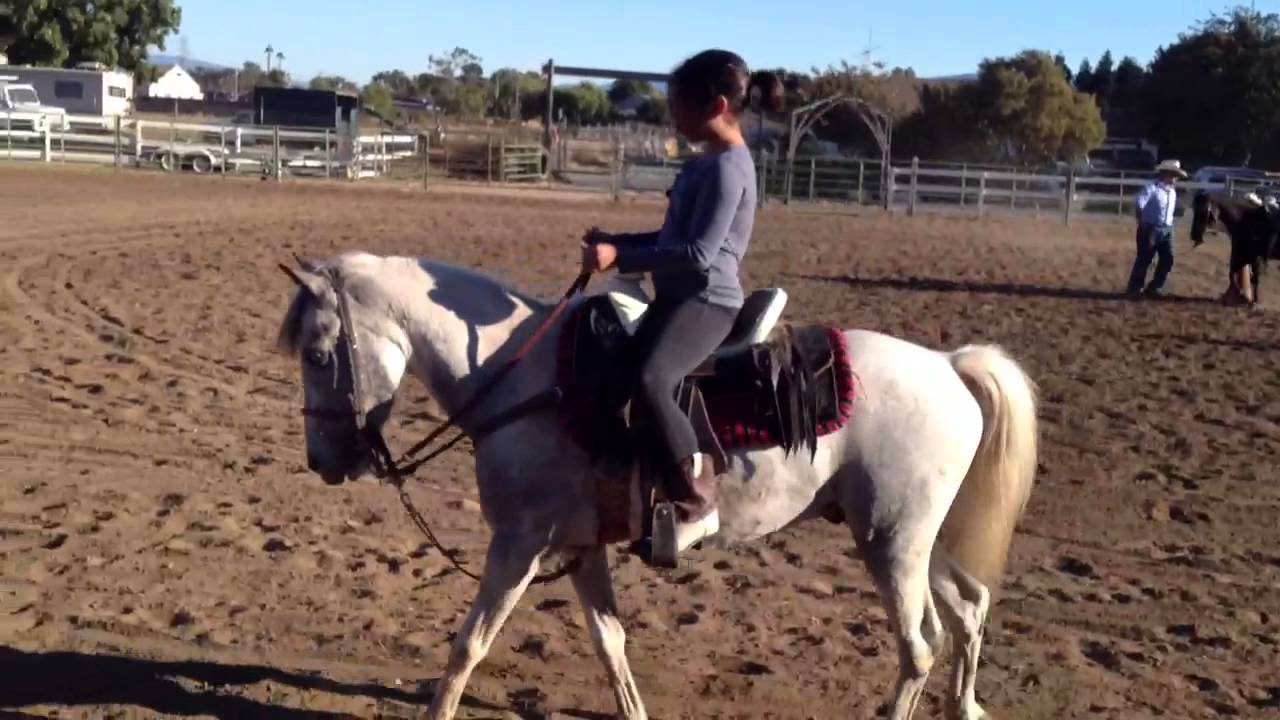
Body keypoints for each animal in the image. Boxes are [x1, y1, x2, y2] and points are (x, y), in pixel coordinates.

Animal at [275, 252, 1039, 720]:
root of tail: (948, 364)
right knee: (969, 609)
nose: (323, 460)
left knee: (920, 645)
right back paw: (964, 704)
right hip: (913, 539)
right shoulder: (578, 547)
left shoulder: (518, 544)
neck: (524, 380)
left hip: (894, 542)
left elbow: (470, 643)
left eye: (318, 353)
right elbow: (609, 642)